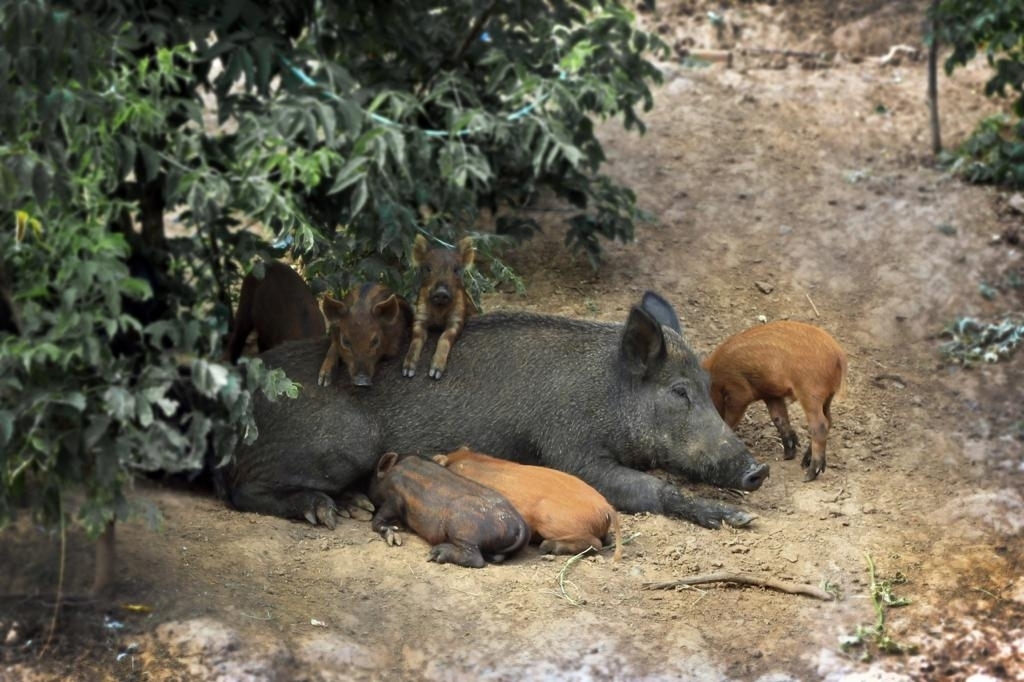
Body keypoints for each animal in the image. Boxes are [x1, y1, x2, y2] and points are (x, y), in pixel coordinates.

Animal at [226, 291, 770, 531]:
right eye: (679, 392)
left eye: (707, 387)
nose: (759, 470)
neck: (607, 395)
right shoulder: (571, 451)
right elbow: (651, 489)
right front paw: (737, 519)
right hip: (341, 445)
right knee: (238, 489)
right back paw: (325, 512)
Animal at [368, 452, 530, 568]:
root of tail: (520, 524)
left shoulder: (395, 497)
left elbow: (381, 517)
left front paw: (394, 536)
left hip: (462, 527)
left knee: (476, 558)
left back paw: (435, 554)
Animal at [402, 234, 476, 380]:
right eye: (428, 268)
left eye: (456, 270)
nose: (441, 292)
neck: (439, 312)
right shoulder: (420, 316)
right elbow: (416, 337)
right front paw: (407, 372)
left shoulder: (457, 318)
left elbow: (445, 337)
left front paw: (434, 374)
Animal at [701, 320, 848, 482]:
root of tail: (838, 354)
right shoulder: (771, 394)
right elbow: (779, 418)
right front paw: (788, 456)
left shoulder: (738, 392)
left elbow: (730, 418)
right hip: (827, 396)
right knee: (829, 420)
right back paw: (803, 462)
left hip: (810, 392)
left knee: (820, 425)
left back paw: (808, 475)